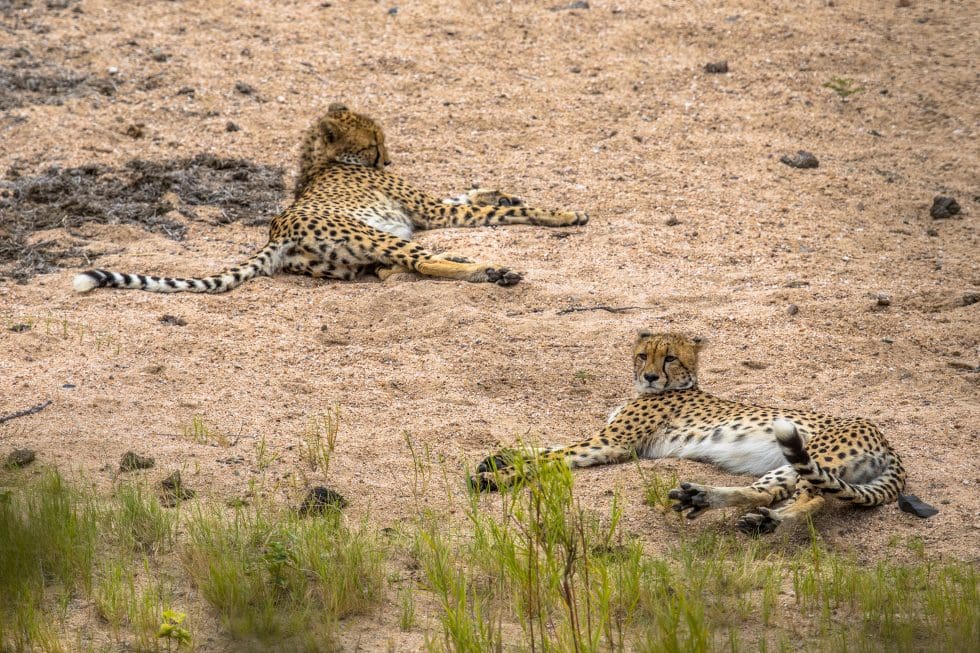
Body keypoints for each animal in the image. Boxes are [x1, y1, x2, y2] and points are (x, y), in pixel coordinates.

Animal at [72, 103, 587, 294]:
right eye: (375, 143)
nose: (386, 159)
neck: (323, 161)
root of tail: (277, 231)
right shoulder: (431, 210)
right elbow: (492, 209)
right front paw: (564, 212)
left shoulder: (430, 207)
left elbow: (474, 194)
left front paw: (505, 191)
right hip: (376, 236)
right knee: (420, 261)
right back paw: (491, 270)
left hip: (355, 259)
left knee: (399, 268)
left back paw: (474, 263)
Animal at [470, 330, 907, 535]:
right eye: (643, 355)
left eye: (670, 358)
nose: (649, 375)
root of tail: (886, 440)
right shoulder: (609, 438)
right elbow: (548, 444)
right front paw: (499, 457)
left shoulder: (614, 442)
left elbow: (555, 455)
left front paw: (499, 476)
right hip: (789, 464)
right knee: (765, 492)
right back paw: (709, 500)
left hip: (812, 454)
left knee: (813, 500)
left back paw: (766, 520)